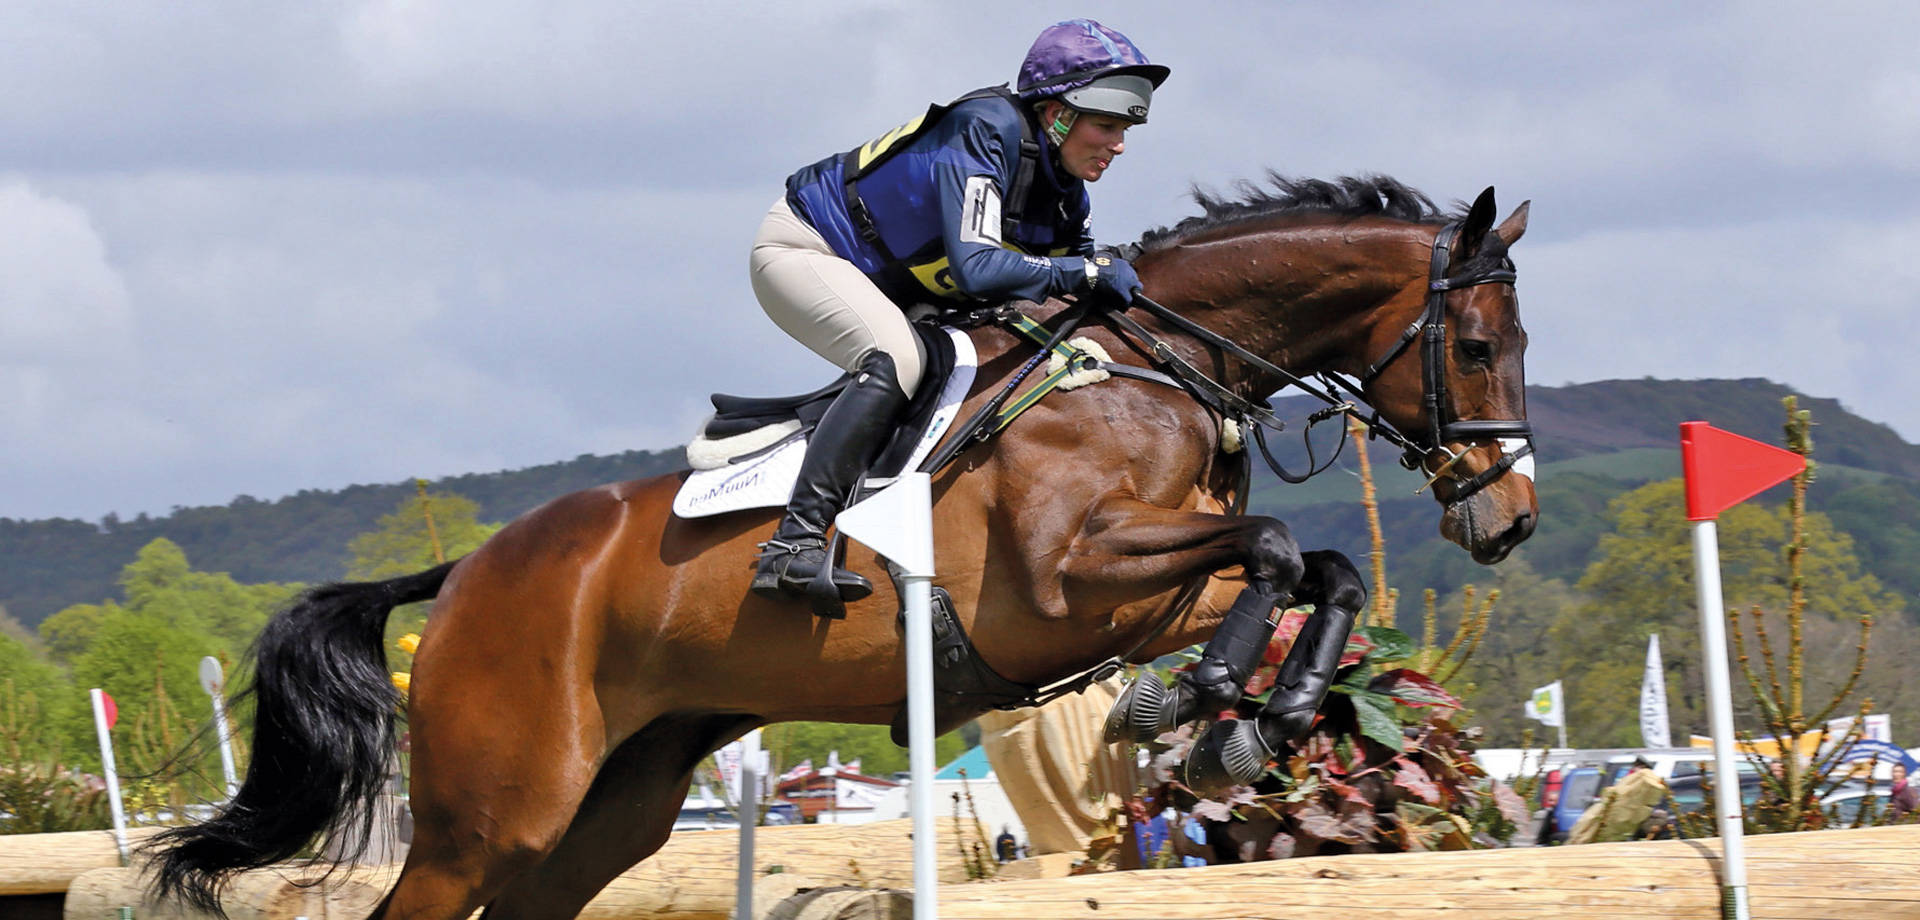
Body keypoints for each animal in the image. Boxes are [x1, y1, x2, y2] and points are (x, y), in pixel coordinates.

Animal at [149, 175, 1536, 918]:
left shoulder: (1146, 590)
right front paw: (1187, 711)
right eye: (1475, 346)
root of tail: (470, 572)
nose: (1508, 516)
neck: (1155, 366)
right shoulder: (1070, 582)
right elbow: (1280, 540)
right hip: (490, 809)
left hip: (612, 804)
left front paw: (1255, 718)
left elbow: (1314, 566)